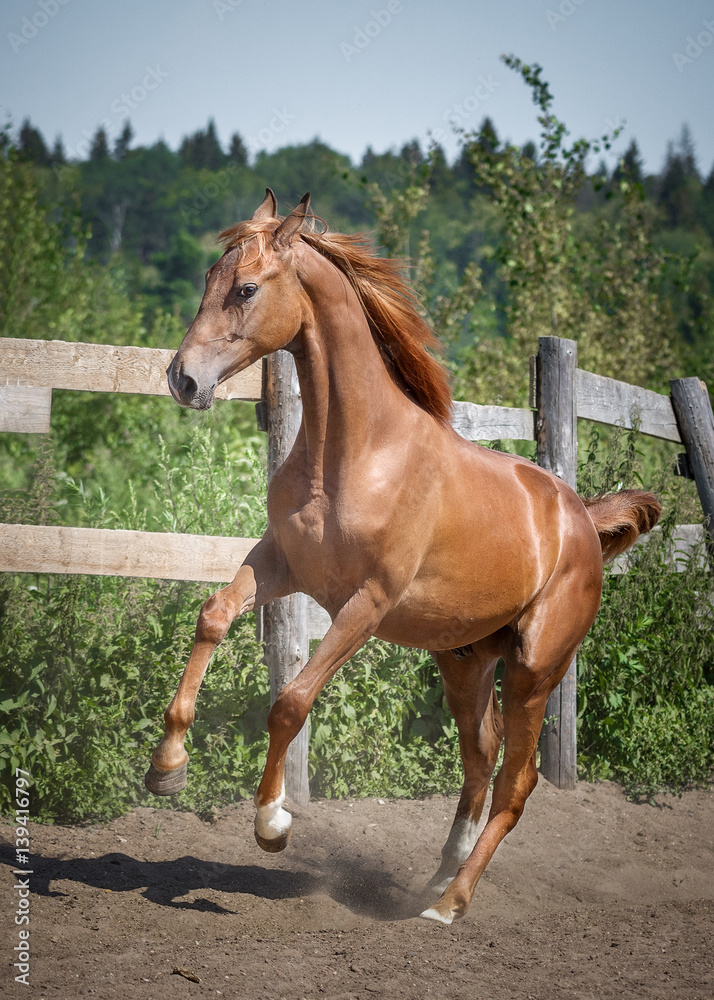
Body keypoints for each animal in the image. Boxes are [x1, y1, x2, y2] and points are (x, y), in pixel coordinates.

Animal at [145, 188, 661, 924]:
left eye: (245, 288)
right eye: (208, 280)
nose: (183, 380)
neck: (355, 454)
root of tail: (584, 521)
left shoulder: (367, 604)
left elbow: (290, 702)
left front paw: (272, 822)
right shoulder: (281, 565)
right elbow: (213, 615)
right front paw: (166, 767)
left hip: (536, 668)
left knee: (517, 781)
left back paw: (451, 903)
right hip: (465, 661)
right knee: (480, 756)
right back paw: (436, 875)